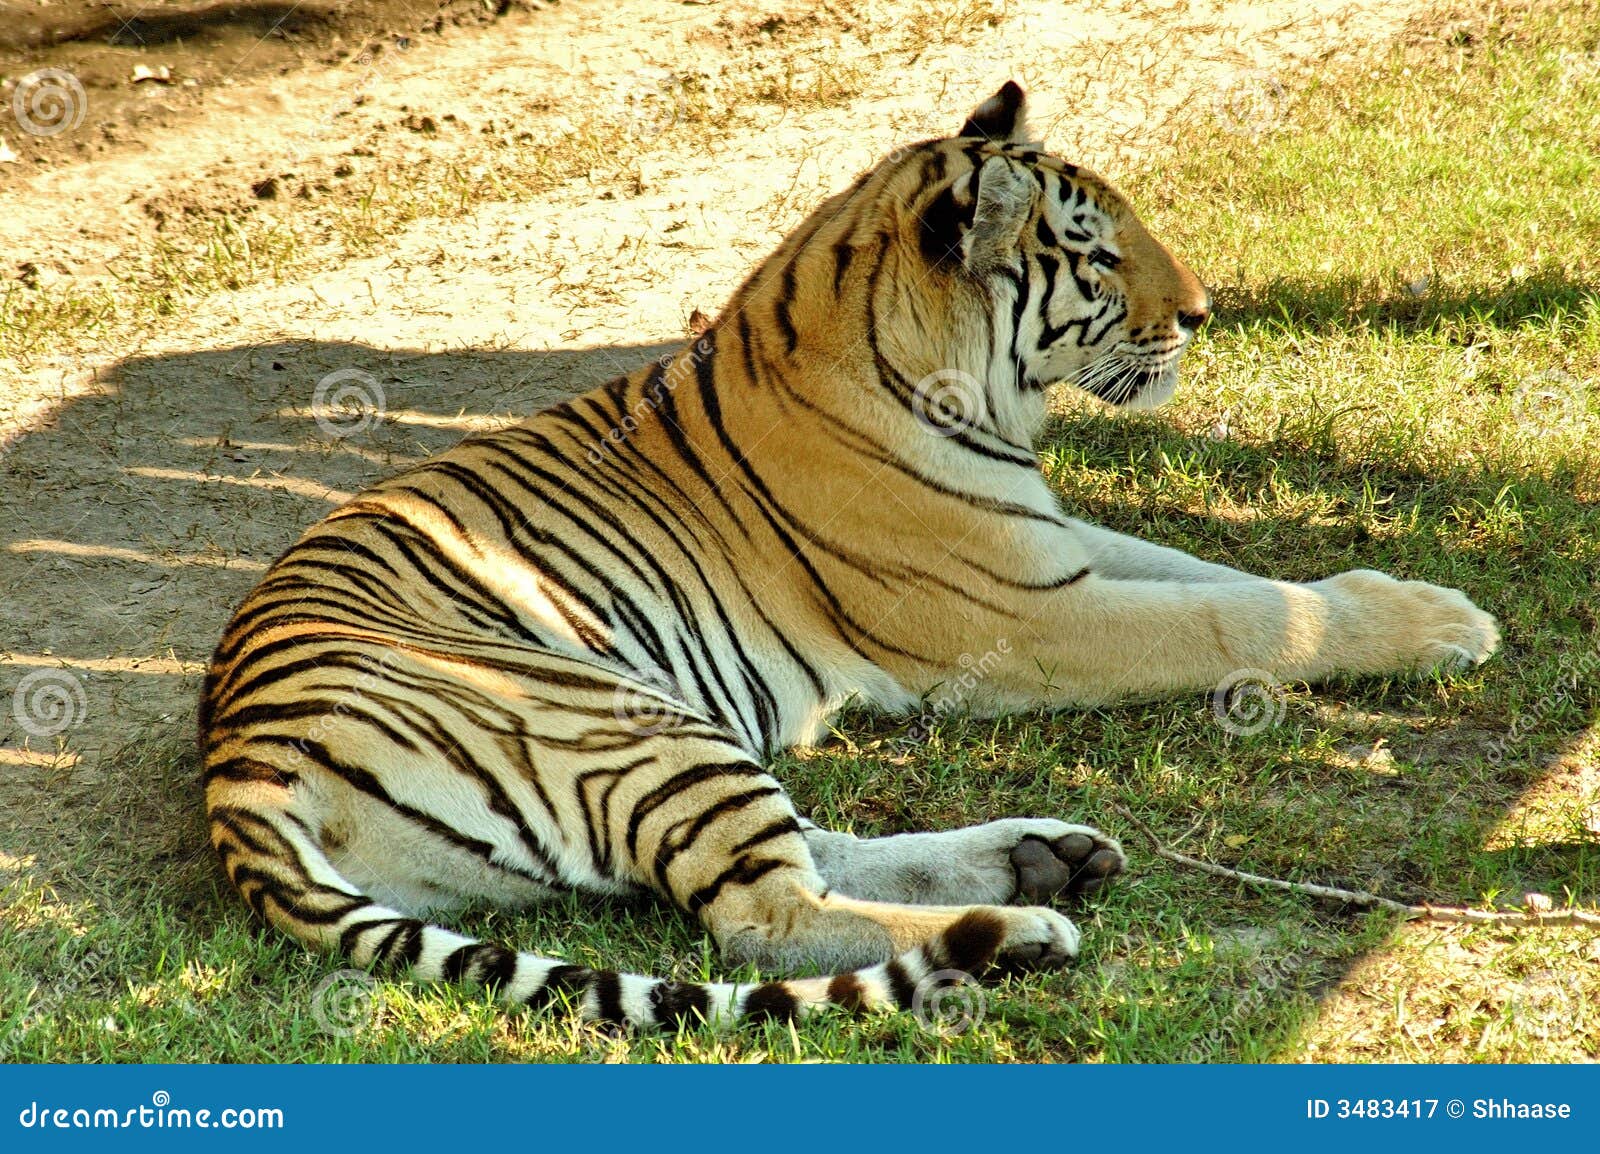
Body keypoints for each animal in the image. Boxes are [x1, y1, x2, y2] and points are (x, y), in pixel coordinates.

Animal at [199, 82, 1500, 1031]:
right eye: (1098, 255)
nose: (1201, 312)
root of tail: (236, 775)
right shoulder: (1025, 614)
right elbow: (1239, 618)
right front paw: (1448, 626)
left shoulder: (1051, 542)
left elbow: (1221, 574)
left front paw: (1422, 597)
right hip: (613, 711)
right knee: (763, 916)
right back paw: (1017, 931)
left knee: (798, 854)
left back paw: (1043, 858)